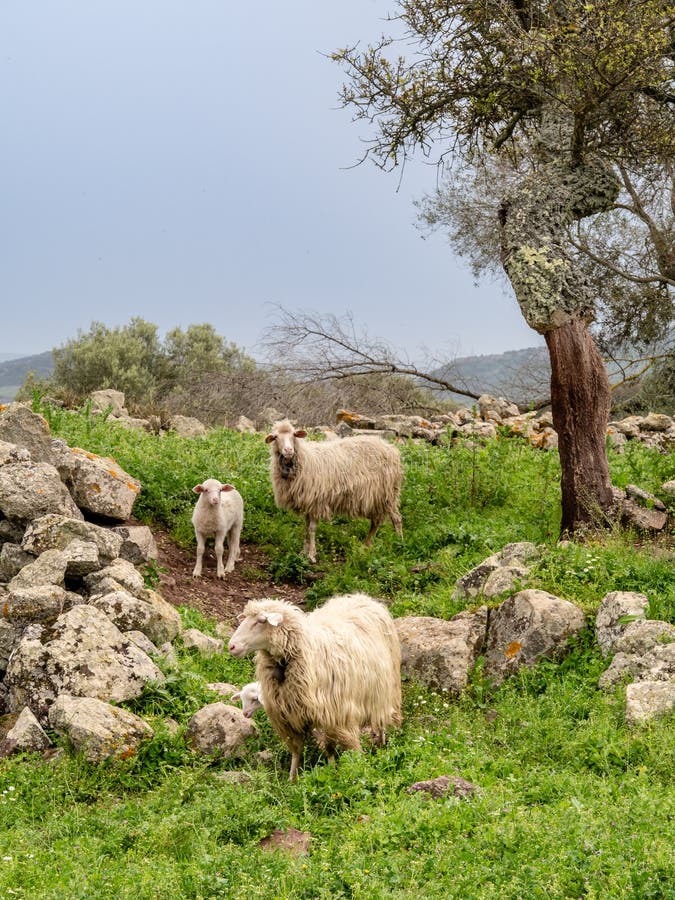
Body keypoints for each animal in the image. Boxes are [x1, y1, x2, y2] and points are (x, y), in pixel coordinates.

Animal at [228, 593, 402, 781]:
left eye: (261, 621)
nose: (231, 646)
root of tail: (362, 597)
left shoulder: (334, 714)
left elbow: (335, 746)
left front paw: (352, 769)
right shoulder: (289, 718)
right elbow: (298, 750)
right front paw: (293, 778)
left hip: (385, 690)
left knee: (381, 720)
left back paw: (381, 744)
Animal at [265, 419, 403, 562]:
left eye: (294, 435)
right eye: (275, 437)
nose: (288, 450)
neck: (304, 458)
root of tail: (390, 448)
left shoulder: (316, 502)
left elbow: (312, 529)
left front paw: (312, 555)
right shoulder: (307, 502)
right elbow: (306, 529)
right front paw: (303, 552)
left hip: (388, 493)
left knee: (396, 518)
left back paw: (400, 543)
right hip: (376, 497)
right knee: (376, 522)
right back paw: (367, 545)